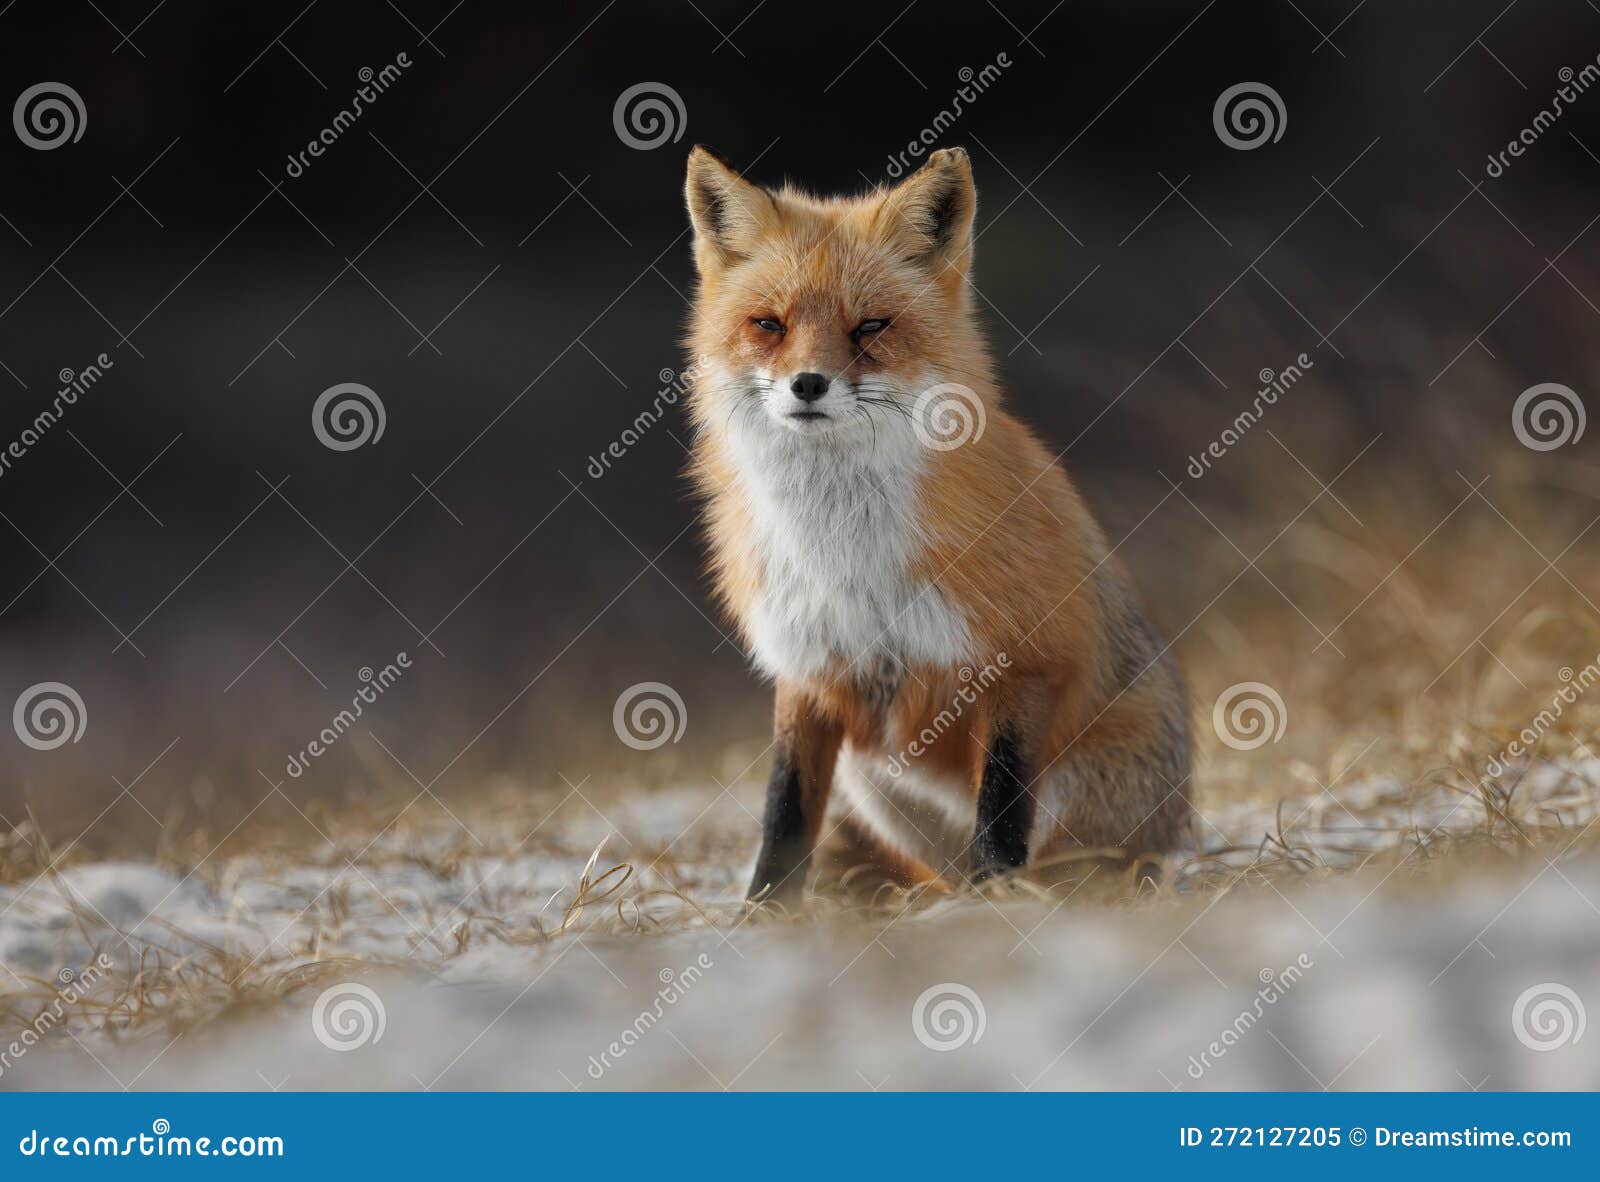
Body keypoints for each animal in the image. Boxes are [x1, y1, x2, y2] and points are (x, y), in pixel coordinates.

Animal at [681, 144, 1192, 903]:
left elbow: (1001, 807)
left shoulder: (1023, 659)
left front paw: (996, 899)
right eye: (769, 324)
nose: (808, 383)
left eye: (870, 326)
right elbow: (785, 810)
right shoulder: (809, 669)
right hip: (874, 776)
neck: (845, 548)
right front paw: (763, 912)